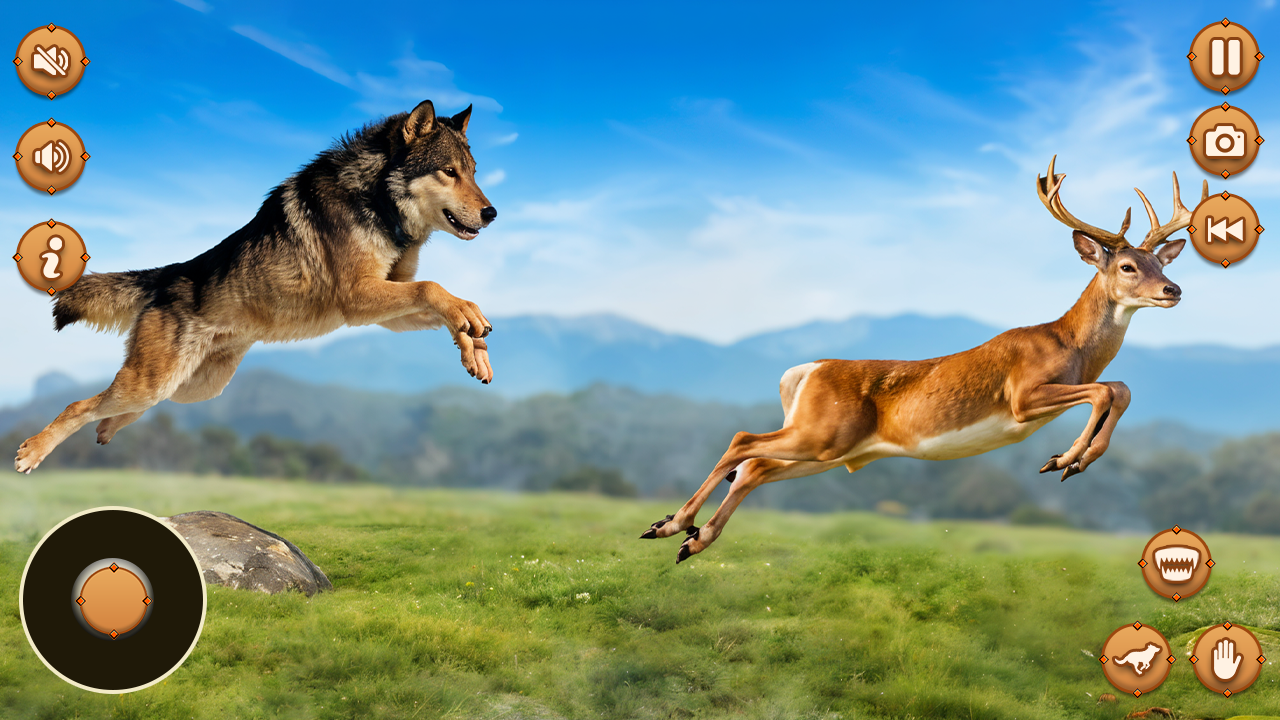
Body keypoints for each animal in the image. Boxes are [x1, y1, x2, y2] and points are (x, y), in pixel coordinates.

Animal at [16, 100, 496, 473]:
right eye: (449, 172)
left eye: (473, 172)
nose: (492, 213)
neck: (377, 201)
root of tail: (168, 273)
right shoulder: (358, 299)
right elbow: (435, 288)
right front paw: (470, 326)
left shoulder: (388, 307)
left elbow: (447, 302)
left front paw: (474, 349)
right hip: (154, 382)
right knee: (80, 405)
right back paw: (31, 453)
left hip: (189, 388)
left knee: (115, 409)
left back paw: (105, 430)